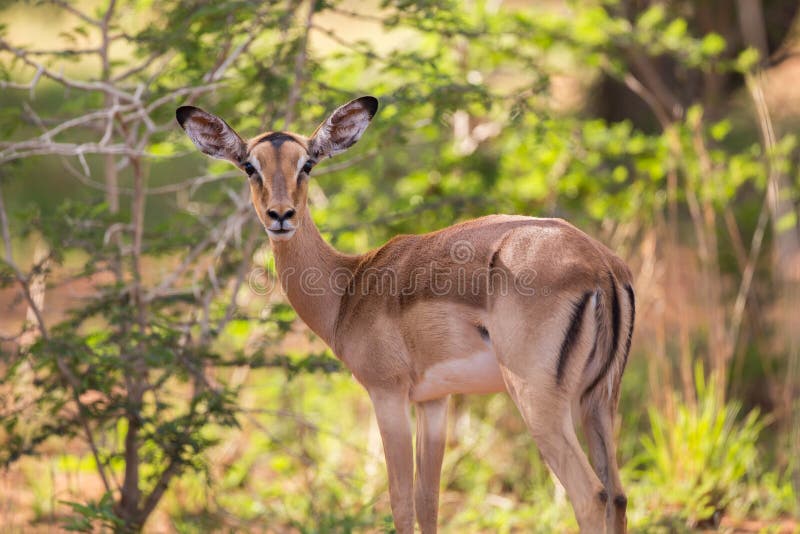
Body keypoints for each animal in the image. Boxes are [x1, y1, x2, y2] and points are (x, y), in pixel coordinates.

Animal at [176, 96, 635, 533]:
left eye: (306, 163)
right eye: (249, 166)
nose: (281, 215)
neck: (349, 287)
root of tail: (600, 265)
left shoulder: (387, 394)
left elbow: (399, 501)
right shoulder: (434, 401)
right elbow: (428, 502)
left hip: (540, 401)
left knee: (590, 496)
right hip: (599, 401)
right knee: (617, 496)